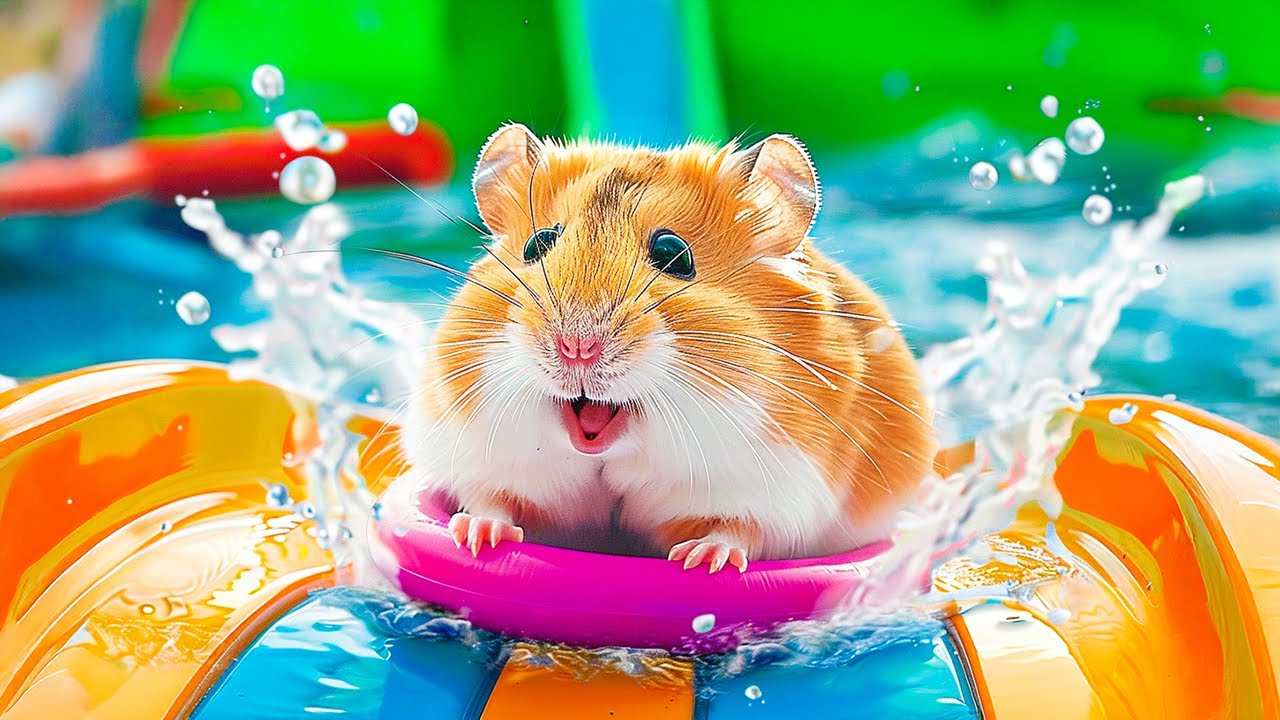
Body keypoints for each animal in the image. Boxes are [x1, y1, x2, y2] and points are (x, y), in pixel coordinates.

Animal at [400, 122, 935, 573]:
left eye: (673, 254)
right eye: (537, 245)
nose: (576, 347)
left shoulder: (777, 487)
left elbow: (739, 529)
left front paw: (701, 561)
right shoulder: (482, 456)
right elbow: (491, 499)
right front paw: (476, 535)